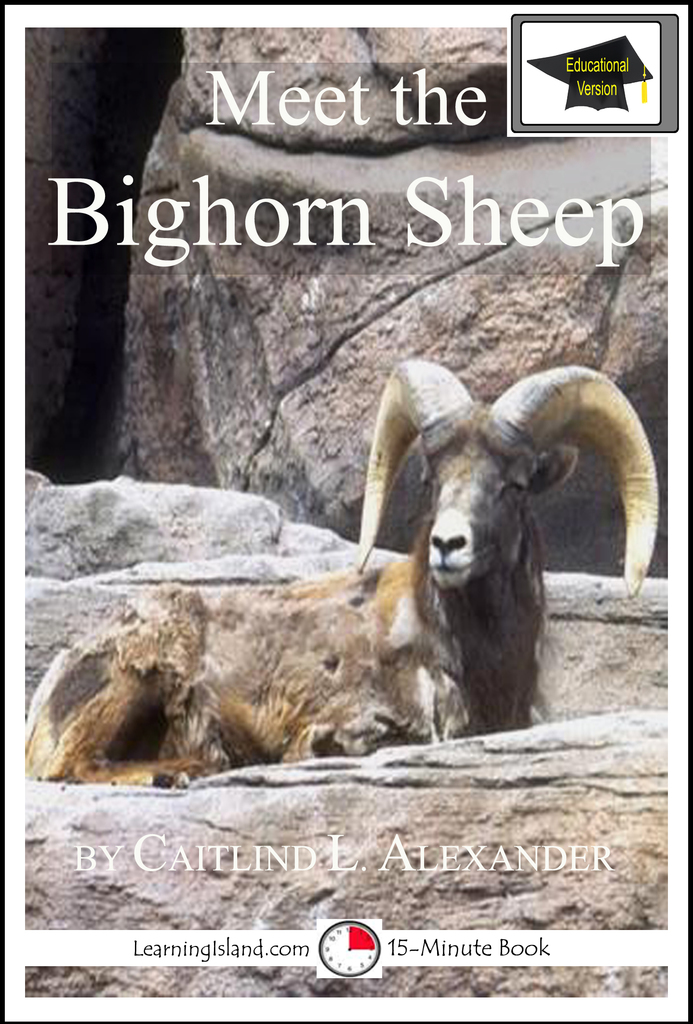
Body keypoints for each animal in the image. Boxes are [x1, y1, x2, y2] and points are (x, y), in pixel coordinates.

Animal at [25, 362, 658, 787]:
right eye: (432, 479)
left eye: (514, 484)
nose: (447, 545)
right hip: (139, 679)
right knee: (69, 767)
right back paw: (182, 771)